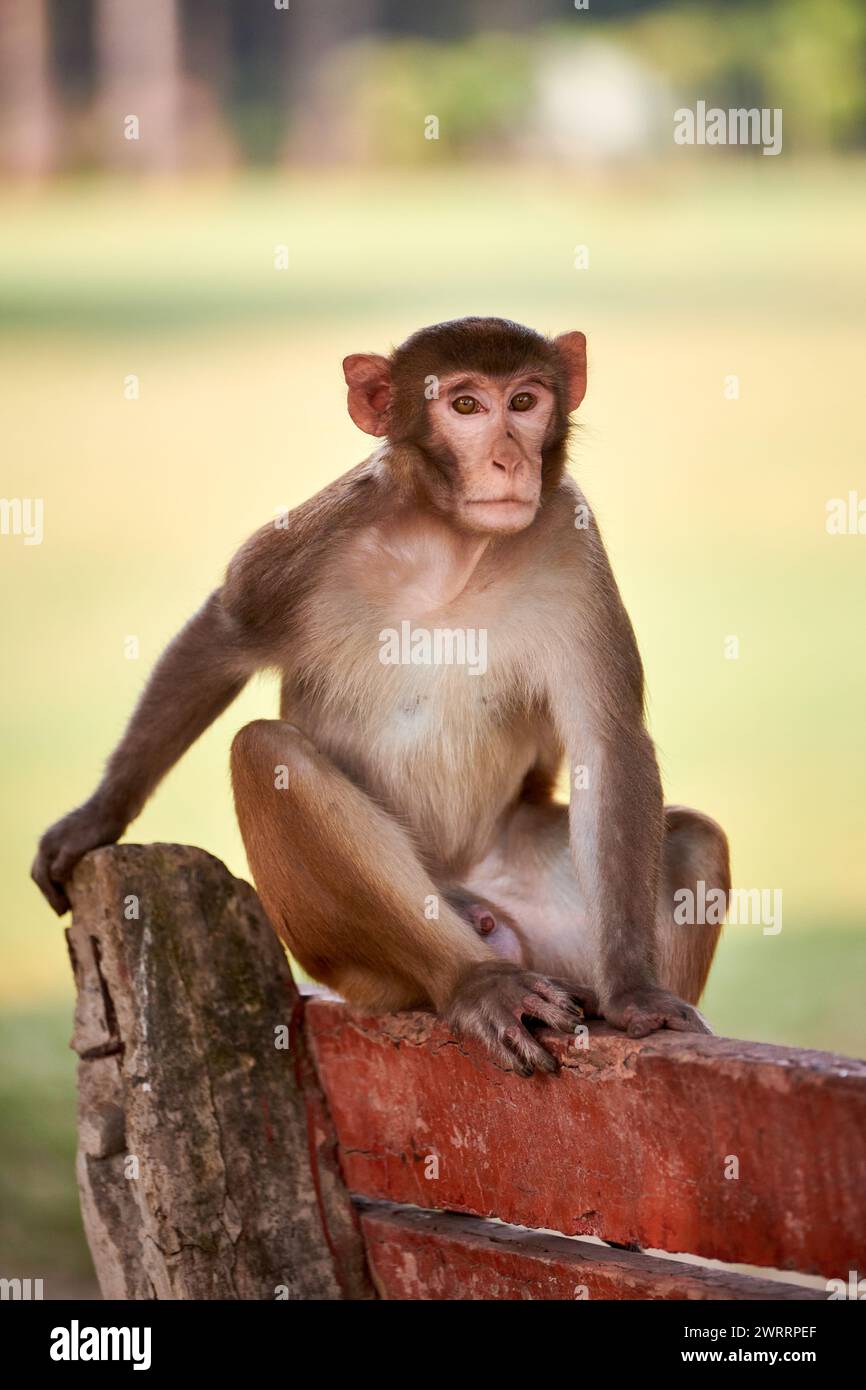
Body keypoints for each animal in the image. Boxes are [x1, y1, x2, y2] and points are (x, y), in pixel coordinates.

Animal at [32, 316, 730, 1076]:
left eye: (523, 402)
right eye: (465, 406)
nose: (508, 461)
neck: (452, 546)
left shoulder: (572, 539)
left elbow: (607, 742)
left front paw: (635, 991)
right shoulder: (308, 542)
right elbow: (223, 634)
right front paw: (95, 819)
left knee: (693, 839)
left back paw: (596, 995)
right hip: (353, 965)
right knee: (266, 752)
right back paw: (476, 981)